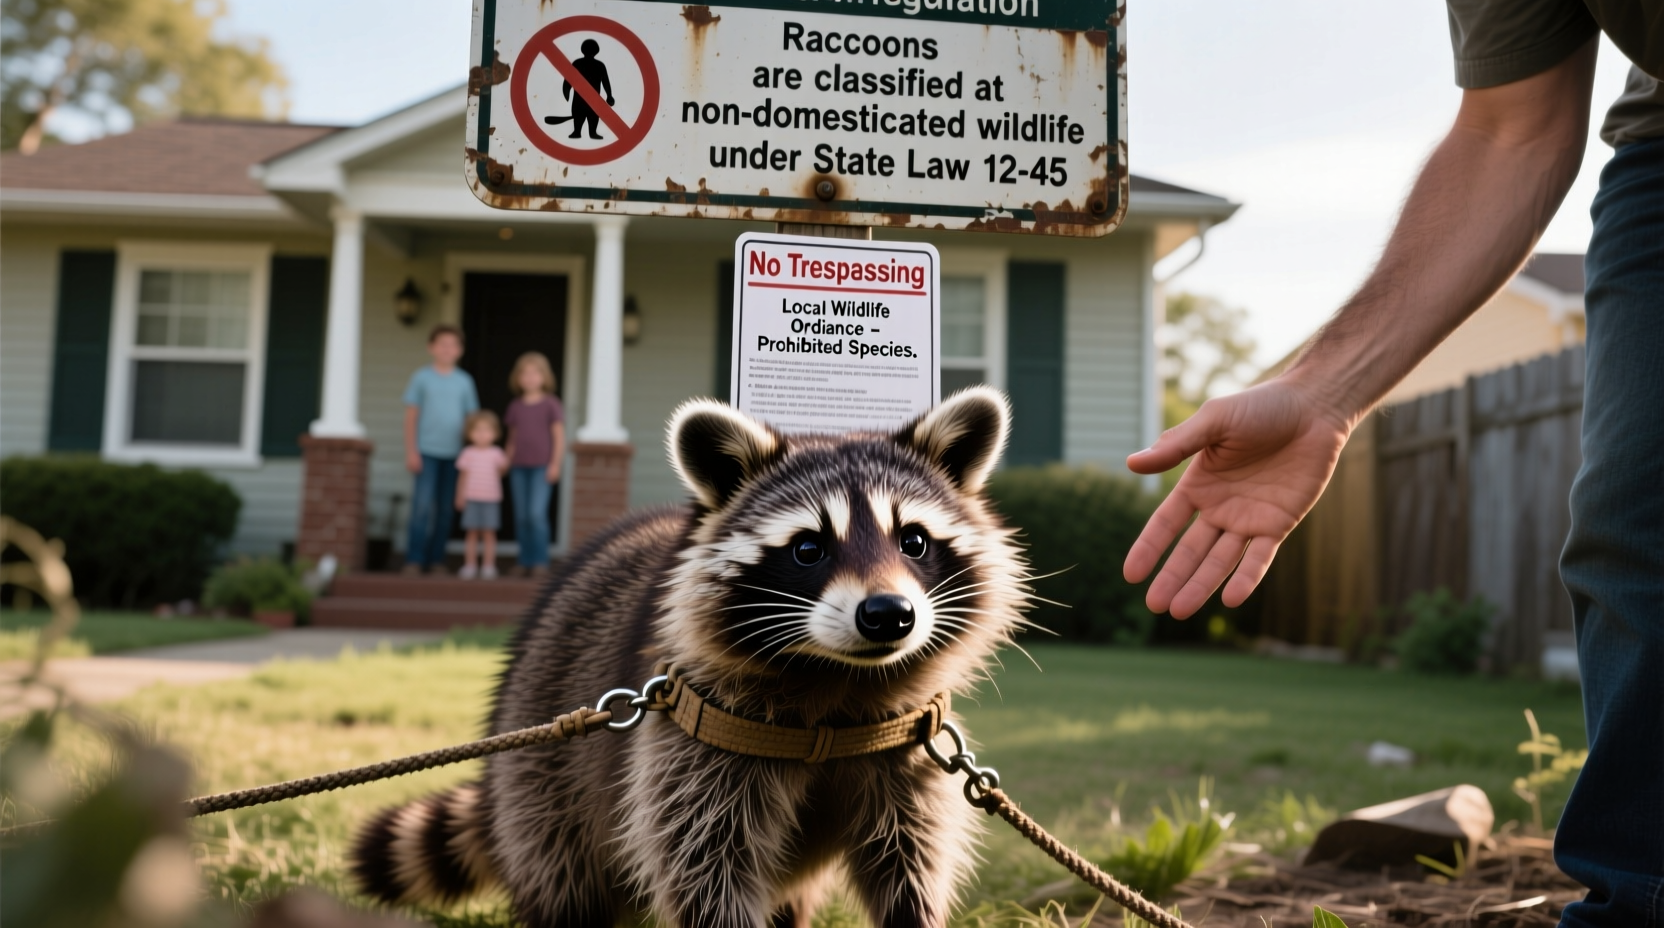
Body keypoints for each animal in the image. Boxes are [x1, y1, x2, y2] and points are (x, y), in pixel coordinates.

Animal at [352, 387, 1029, 928]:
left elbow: (909, 863)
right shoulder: (694, 749)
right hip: (542, 772)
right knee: (562, 877)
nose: (889, 614)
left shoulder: (906, 751)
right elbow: (706, 869)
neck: (837, 685)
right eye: (808, 549)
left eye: (913, 541)